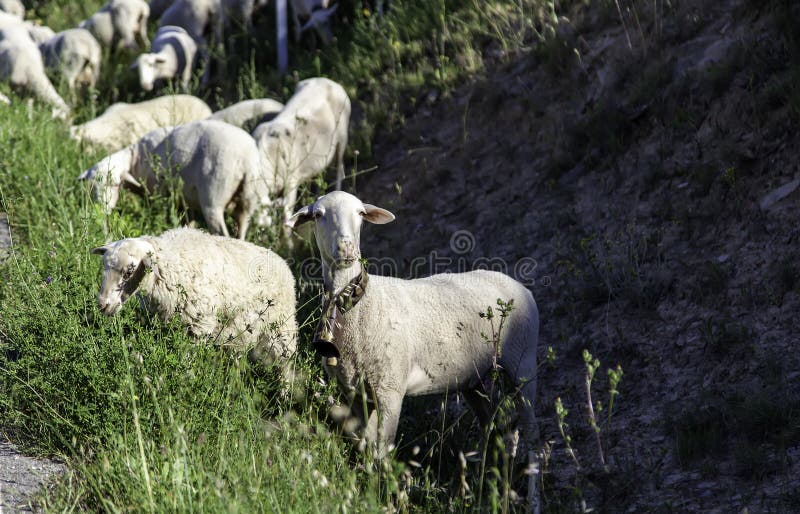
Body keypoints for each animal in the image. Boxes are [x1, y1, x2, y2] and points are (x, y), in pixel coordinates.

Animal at [79, 119, 272, 239]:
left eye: (114, 184)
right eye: (91, 187)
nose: (102, 208)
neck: (135, 159)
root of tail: (247, 160)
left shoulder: (160, 194)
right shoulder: (185, 201)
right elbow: (187, 222)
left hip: (214, 196)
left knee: (222, 232)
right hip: (248, 202)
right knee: (241, 231)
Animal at [92, 227, 298, 388]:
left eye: (129, 271)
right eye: (105, 267)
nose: (103, 305)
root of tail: (282, 262)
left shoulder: (198, 326)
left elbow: (187, 362)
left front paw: (184, 381)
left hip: (281, 328)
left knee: (286, 364)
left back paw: (284, 397)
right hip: (241, 333)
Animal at [287, 190, 541, 510]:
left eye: (360, 213)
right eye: (318, 215)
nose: (346, 248)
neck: (361, 307)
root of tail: (518, 284)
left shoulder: (390, 388)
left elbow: (381, 451)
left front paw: (382, 498)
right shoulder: (354, 391)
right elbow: (364, 445)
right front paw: (367, 493)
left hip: (523, 363)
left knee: (532, 434)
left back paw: (530, 500)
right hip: (474, 379)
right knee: (498, 430)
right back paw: (491, 490)